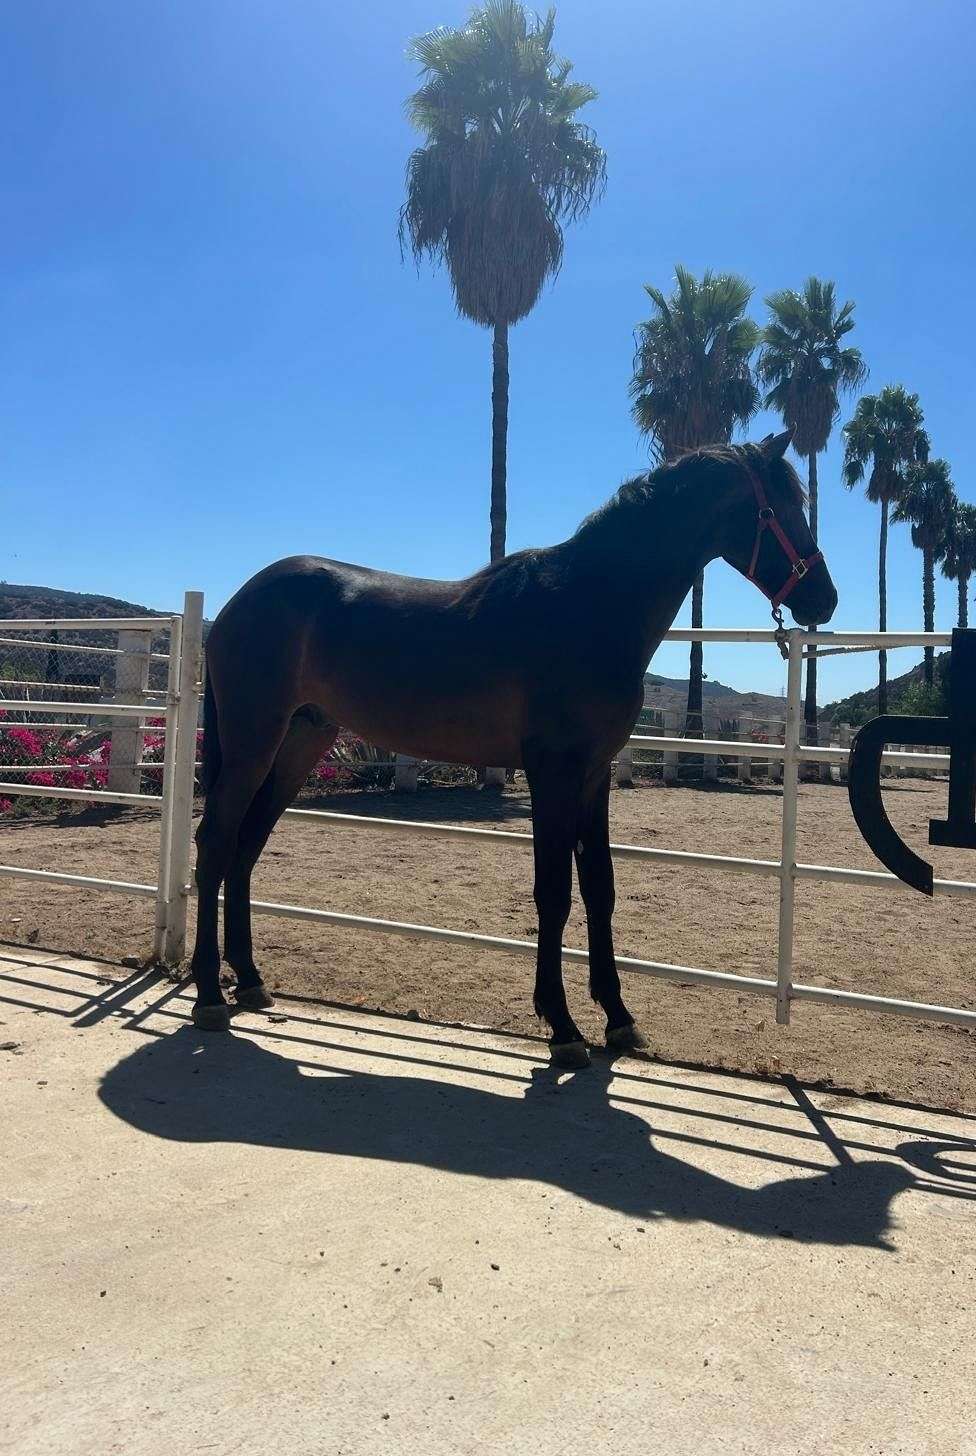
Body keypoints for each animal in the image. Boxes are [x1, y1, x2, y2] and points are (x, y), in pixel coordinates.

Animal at [189, 430, 837, 1065]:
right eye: (777, 508)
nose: (824, 599)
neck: (590, 606)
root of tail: (237, 602)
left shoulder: (594, 774)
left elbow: (599, 886)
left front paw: (618, 1018)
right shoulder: (554, 772)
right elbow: (553, 892)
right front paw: (562, 1027)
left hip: (301, 742)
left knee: (247, 846)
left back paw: (249, 980)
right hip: (253, 742)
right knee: (216, 842)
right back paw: (208, 996)